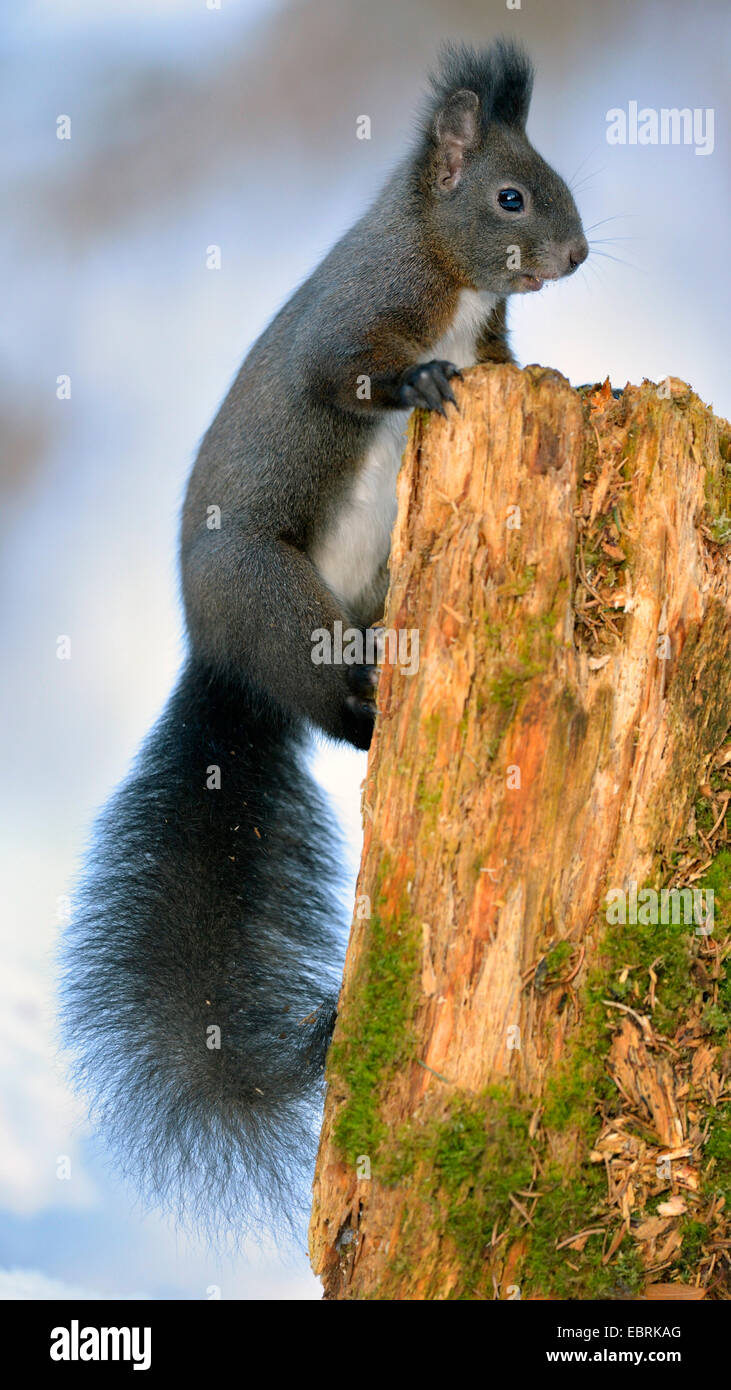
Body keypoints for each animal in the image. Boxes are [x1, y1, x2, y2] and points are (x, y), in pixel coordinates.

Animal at [61, 39, 588, 1240]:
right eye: (510, 196)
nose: (575, 256)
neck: (447, 274)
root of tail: (218, 657)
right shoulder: (359, 313)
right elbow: (339, 374)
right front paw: (420, 381)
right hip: (278, 598)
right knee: (327, 700)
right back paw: (363, 709)